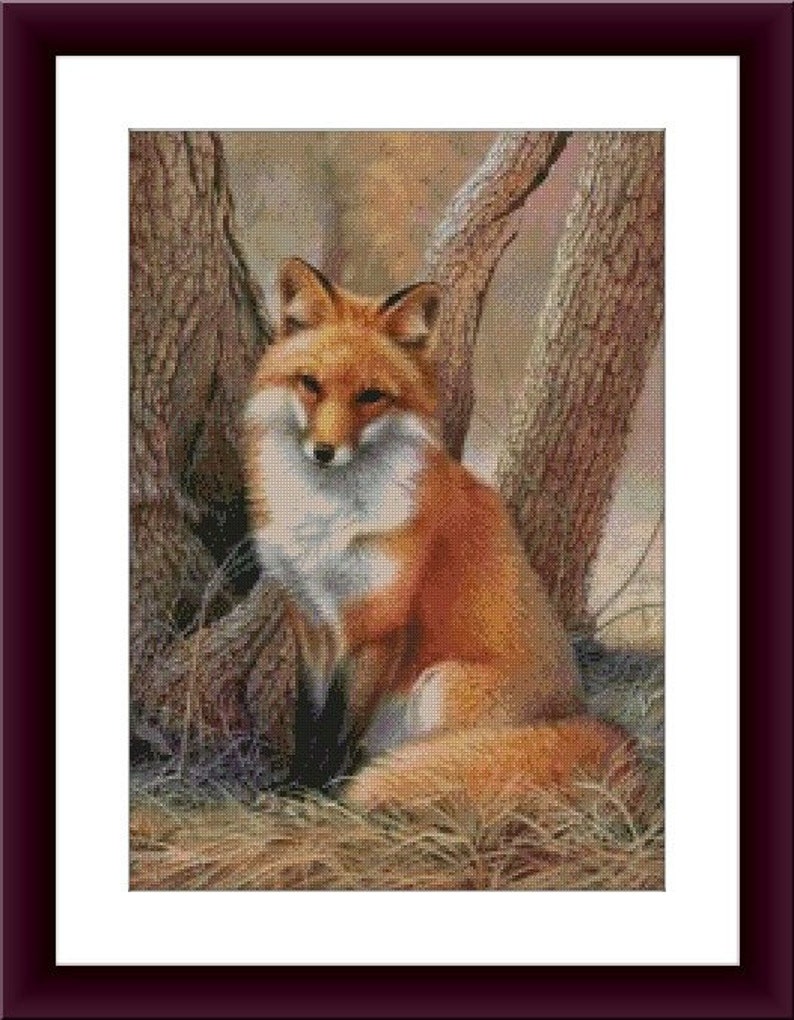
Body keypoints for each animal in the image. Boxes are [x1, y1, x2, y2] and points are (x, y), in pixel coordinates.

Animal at [243, 257, 635, 812]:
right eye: (310, 384)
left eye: (371, 397)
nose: (323, 451)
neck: (325, 520)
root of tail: (582, 718)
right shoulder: (311, 620)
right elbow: (310, 721)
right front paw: (295, 784)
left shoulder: (377, 625)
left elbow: (339, 727)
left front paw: (320, 794)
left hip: (440, 685)